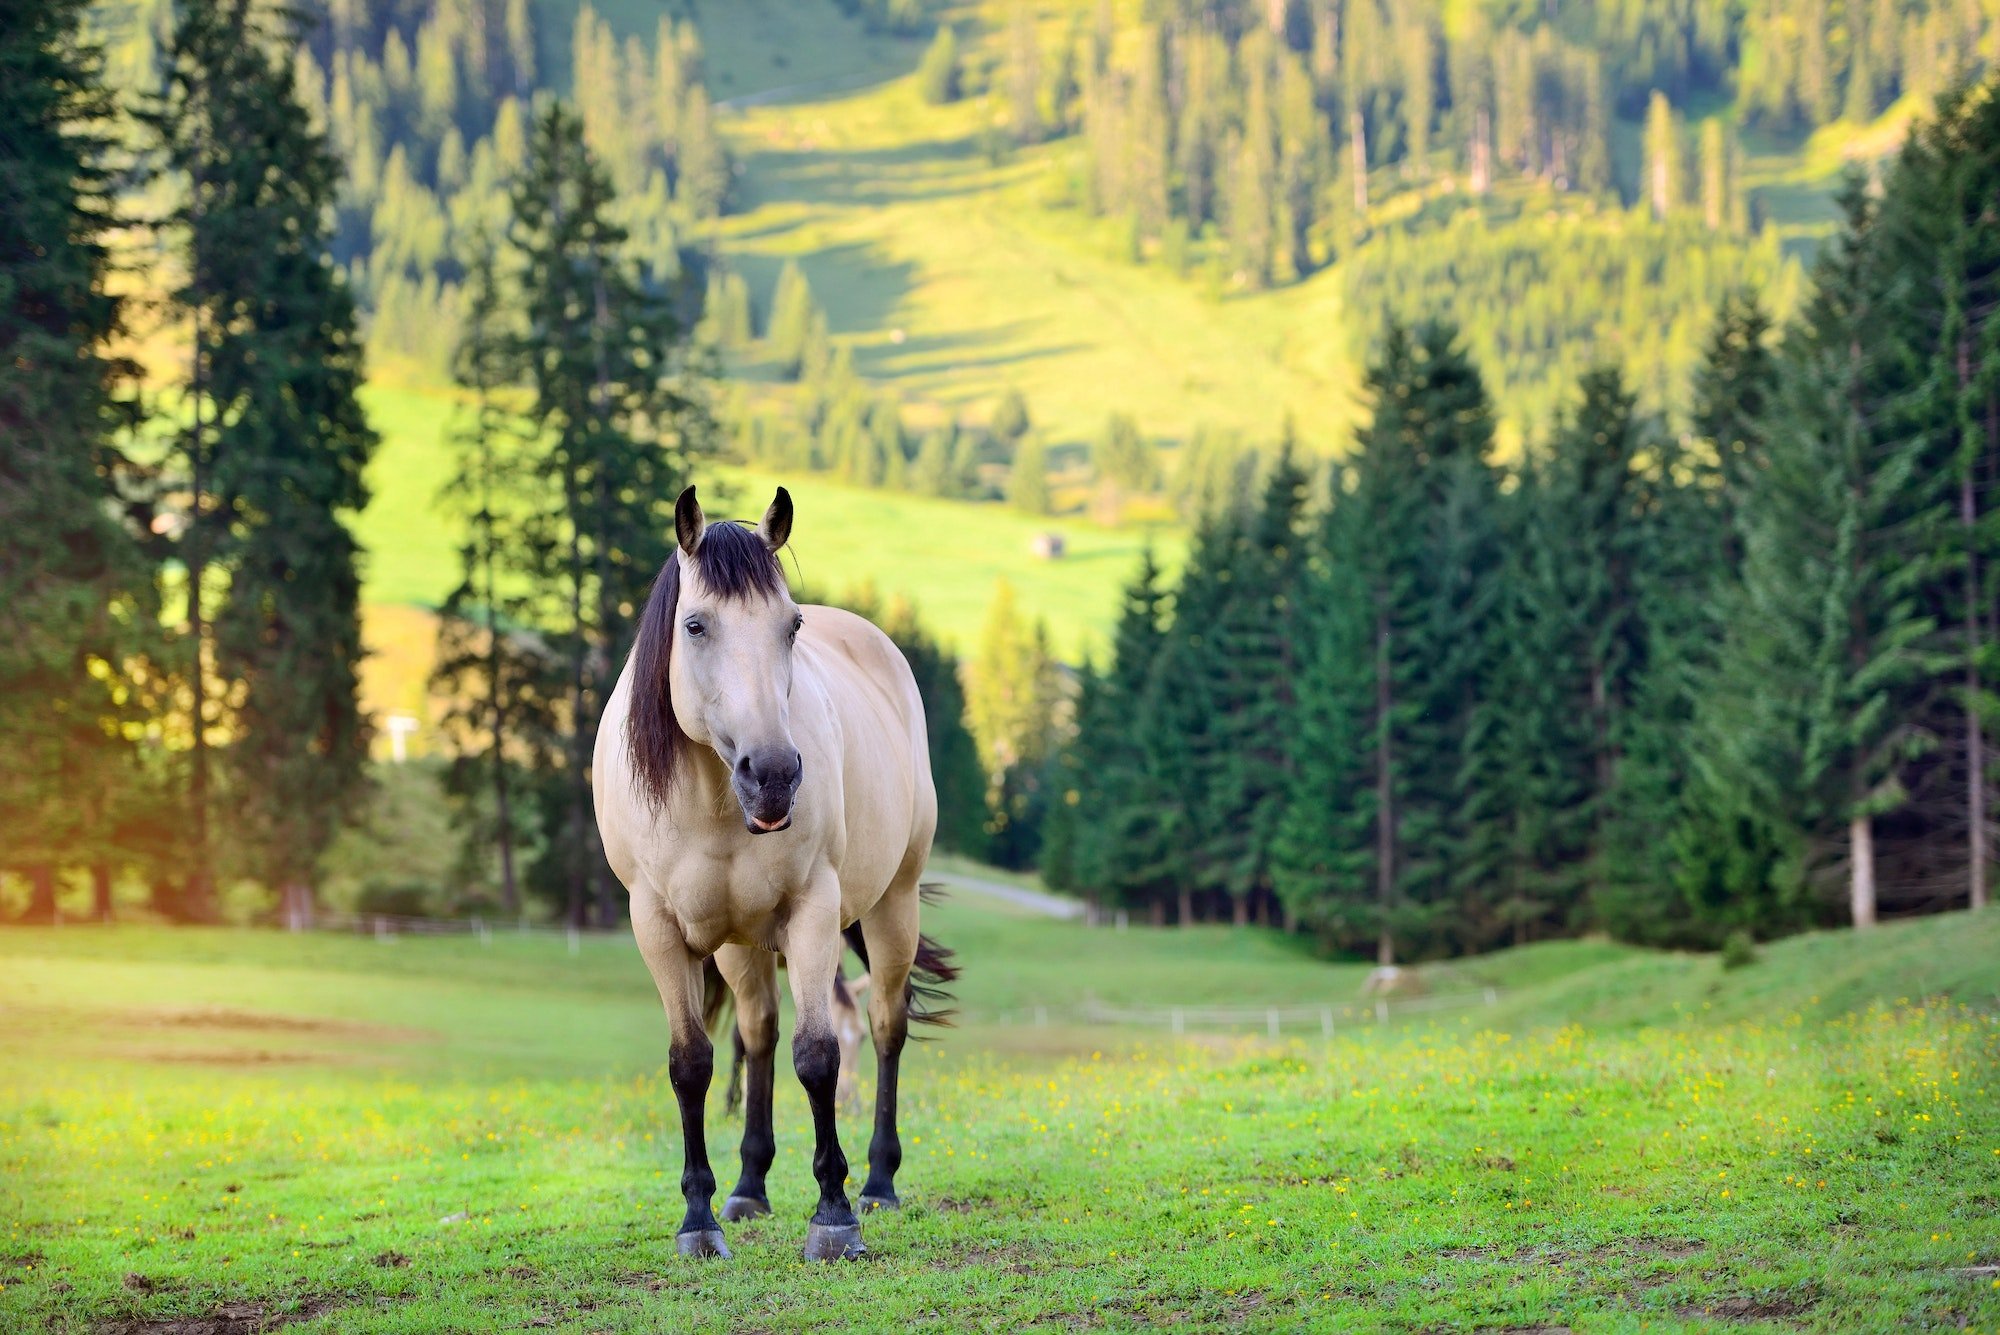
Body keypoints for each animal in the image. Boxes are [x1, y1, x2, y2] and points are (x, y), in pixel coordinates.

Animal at [594, 485, 957, 1262]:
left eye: (790, 626)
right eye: (695, 624)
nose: (775, 776)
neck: (712, 800)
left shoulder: (813, 910)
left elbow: (819, 1055)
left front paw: (834, 1216)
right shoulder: (657, 926)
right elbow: (692, 1063)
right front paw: (698, 1219)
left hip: (893, 905)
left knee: (887, 1024)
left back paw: (879, 1182)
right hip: (739, 942)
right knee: (757, 1031)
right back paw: (749, 1187)